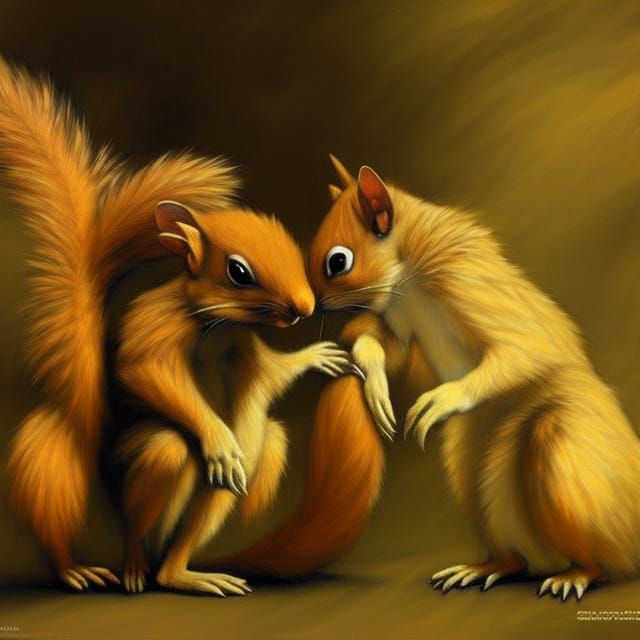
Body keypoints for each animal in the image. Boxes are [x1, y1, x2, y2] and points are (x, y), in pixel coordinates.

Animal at [113, 201, 351, 595]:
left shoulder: (250, 351)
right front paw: (220, 442)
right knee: (157, 477)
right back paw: (135, 569)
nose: (305, 307)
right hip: (148, 458)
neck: (218, 325)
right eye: (239, 272)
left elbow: (275, 372)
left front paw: (318, 356)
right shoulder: (152, 329)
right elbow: (145, 372)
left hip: (244, 469)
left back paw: (186, 574)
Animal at [283, 155, 639, 601]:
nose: (311, 308)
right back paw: (485, 567)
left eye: (337, 261)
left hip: (564, 451)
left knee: (599, 558)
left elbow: (523, 347)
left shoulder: (467, 283)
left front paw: (443, 399)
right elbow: (386, 347)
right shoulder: (400, 322)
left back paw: (577, 574)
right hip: (473, 469)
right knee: (512, 551)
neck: (408, 277)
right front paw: (376, 382)